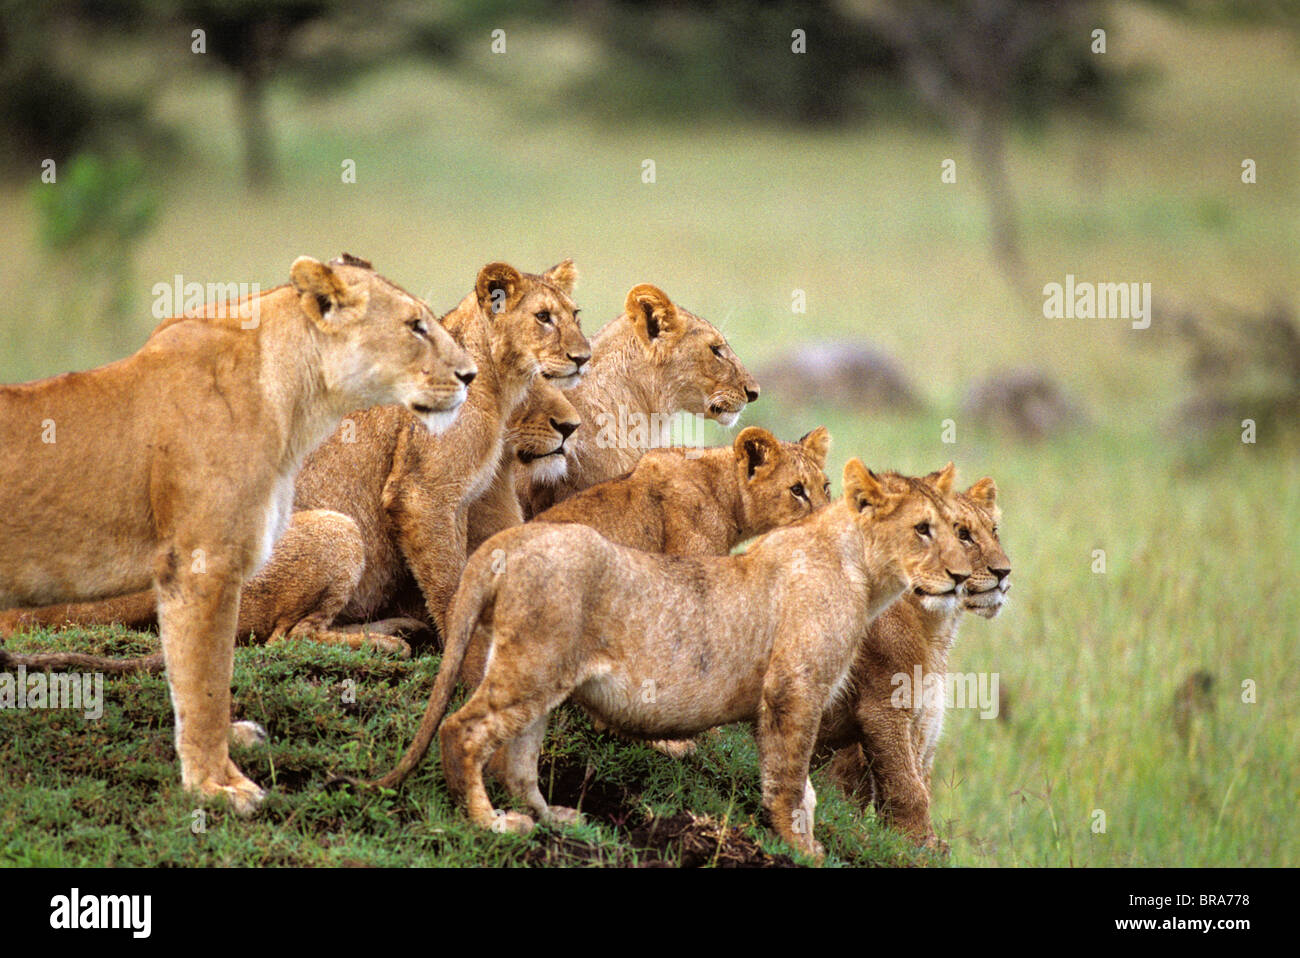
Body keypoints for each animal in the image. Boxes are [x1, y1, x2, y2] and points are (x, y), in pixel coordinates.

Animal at [0, 254, 477, 813]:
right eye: (415, 325)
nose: (470, 375)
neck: (296, 400)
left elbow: (206, 672)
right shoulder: (202, 563)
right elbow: (205, 675)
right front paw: (216, 785)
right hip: (335, 529)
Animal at [372, 460, 971, 858]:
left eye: (960, 530)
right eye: (924, 529)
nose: (964, 577)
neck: (866, 577)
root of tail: (505, 545)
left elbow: (800, 785)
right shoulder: (794, 688)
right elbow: (790, 780)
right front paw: (803, 850)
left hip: (539, 674)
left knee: (515, 761)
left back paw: (553, 821)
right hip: (531, 669)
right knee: (462, 731)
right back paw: (488, 823)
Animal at [815, 480, 1011, 847]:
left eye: (994, 531)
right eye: (962, 534)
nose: (1004, 572)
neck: (936, 629)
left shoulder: (924, 719)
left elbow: (918, 779)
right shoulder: (882, 709)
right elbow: (907, 786)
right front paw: (918, 842)